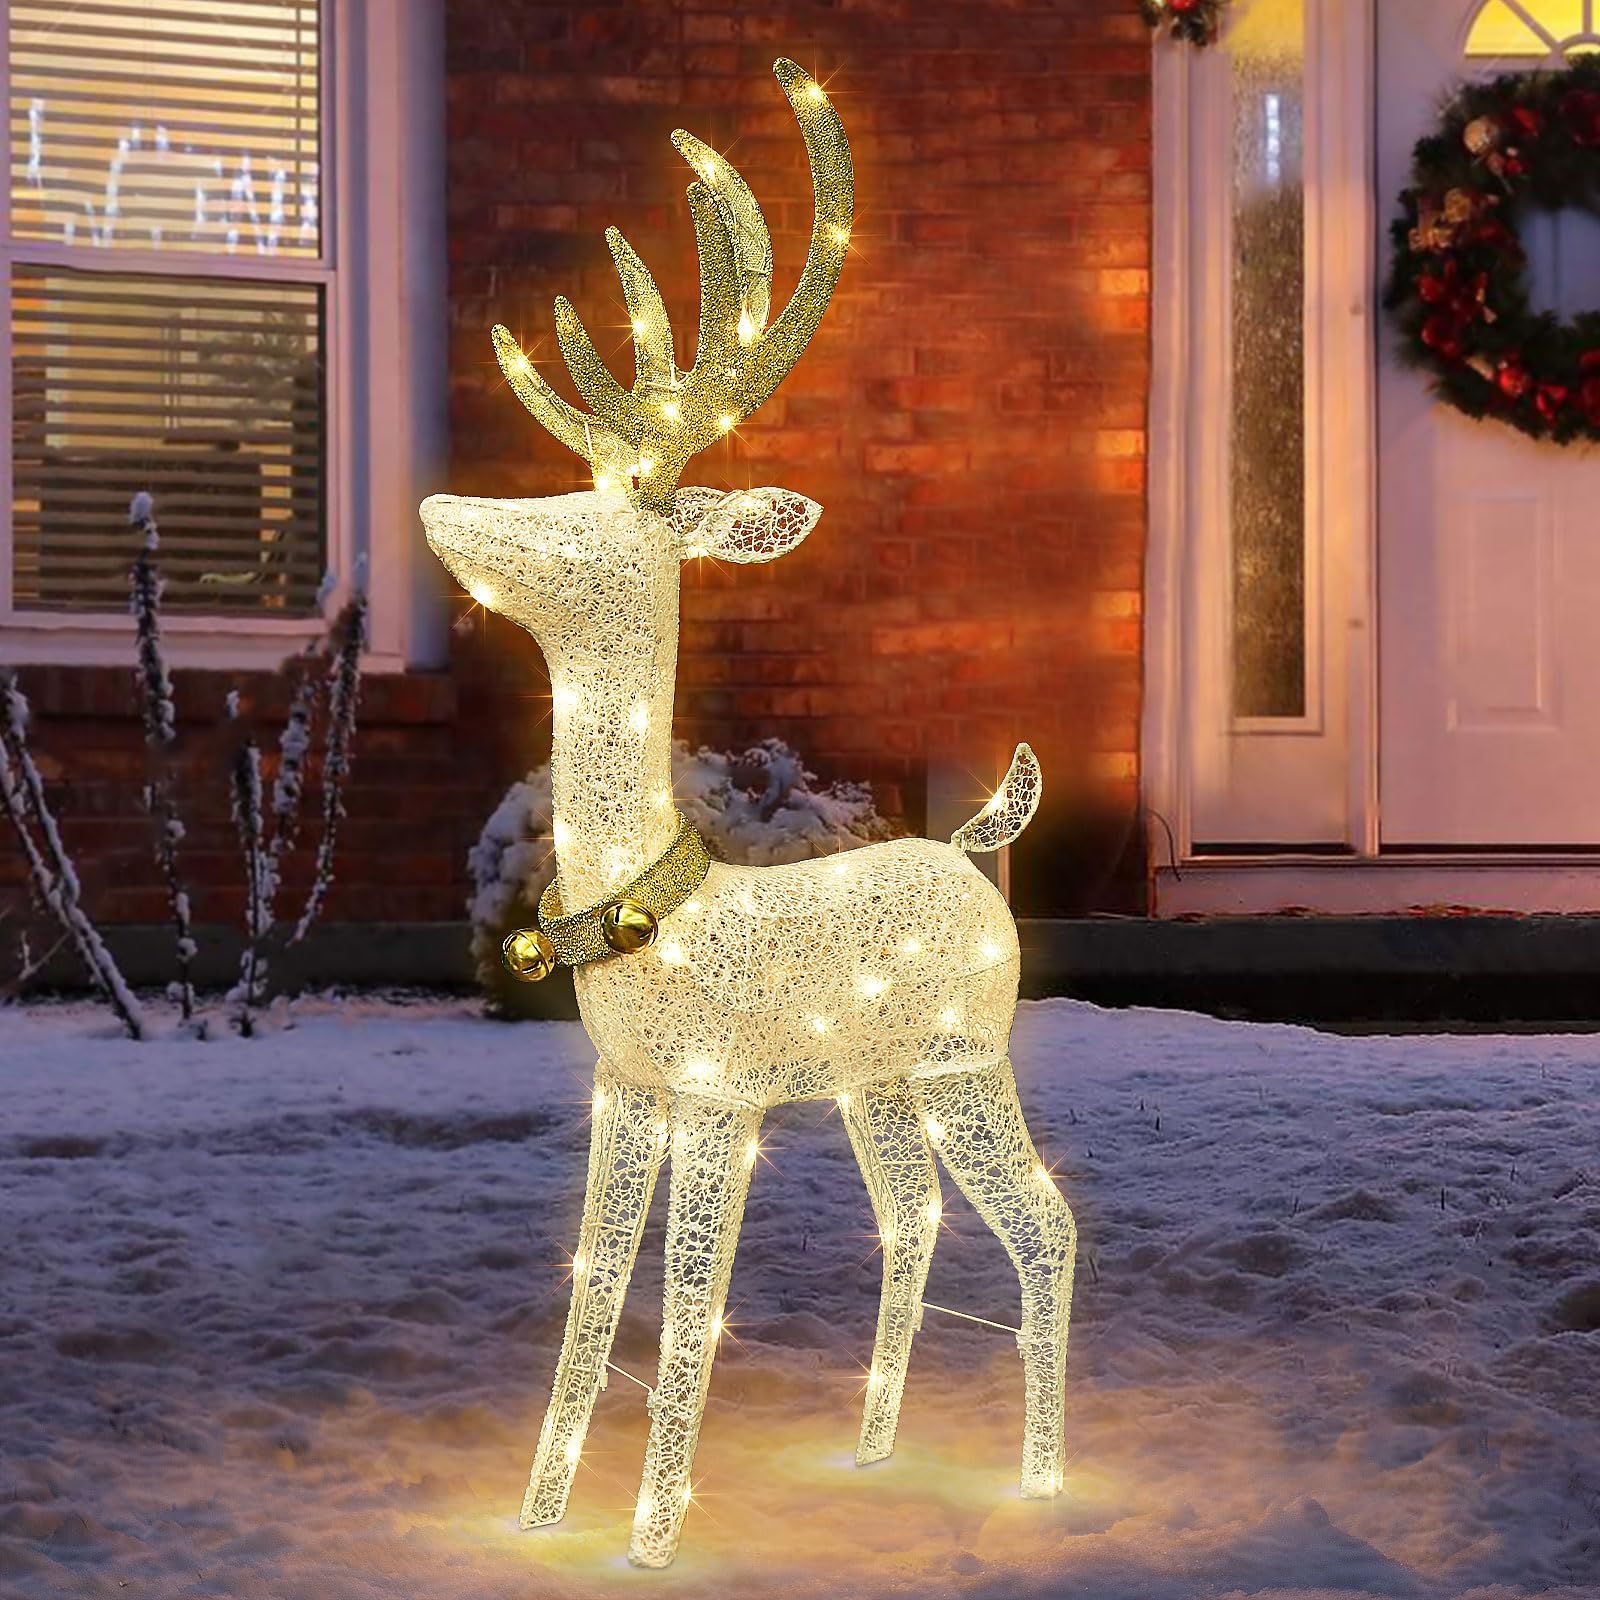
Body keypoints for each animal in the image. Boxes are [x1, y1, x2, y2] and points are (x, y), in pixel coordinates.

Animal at [420, 58, 1076, 1570]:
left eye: (593, 523)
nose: (441, 511)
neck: (647, 907)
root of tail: (974, 846)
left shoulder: (718, 1097)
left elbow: (686, 1311)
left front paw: (649, 1546)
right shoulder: (625, 1090)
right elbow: (592, 1293)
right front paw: (536, 1519)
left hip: (966, 1060)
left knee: (1047, 1224)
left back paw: (1040, 1482)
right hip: (874, 1079)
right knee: (915, 1218)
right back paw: (874, 1448)